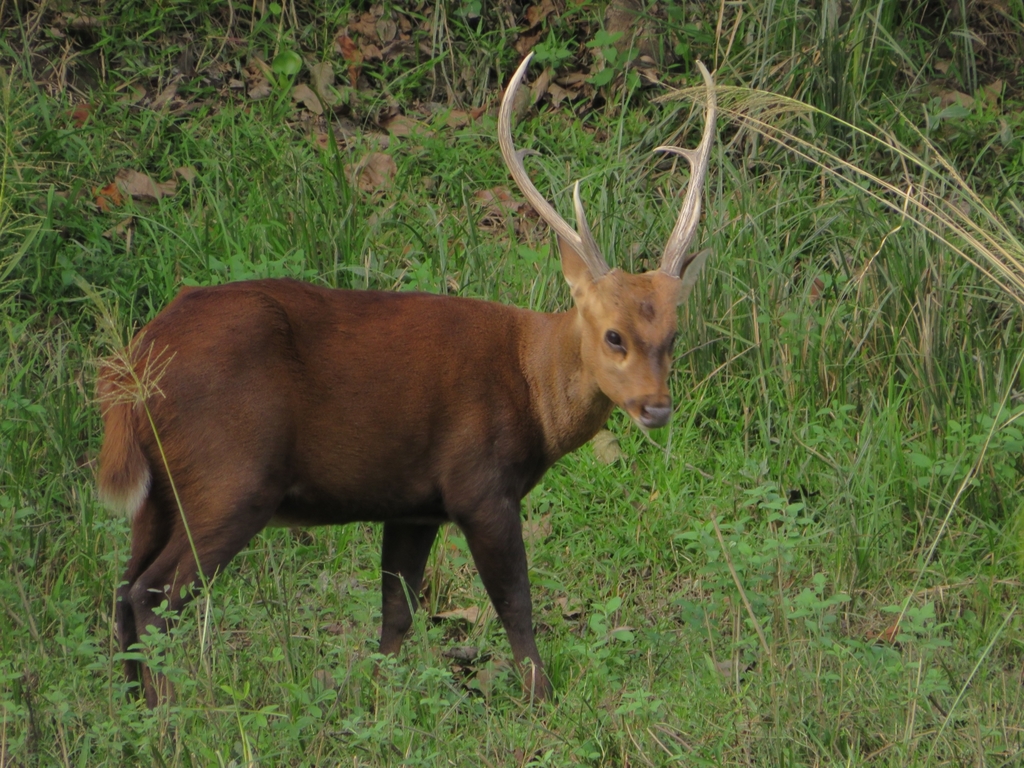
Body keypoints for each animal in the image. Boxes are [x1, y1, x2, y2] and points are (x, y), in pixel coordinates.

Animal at [96, 52, 717, 707]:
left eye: (674, 336)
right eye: (613, 335)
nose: (656, 407)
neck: (530, 381)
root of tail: (133, 365)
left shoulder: (414, 504)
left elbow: (397, 612)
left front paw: (379, 701)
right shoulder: (479, 485)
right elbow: (514, 604)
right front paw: (542, 697)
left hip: (160, 490)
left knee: (123, 590)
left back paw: (134, 708)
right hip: (231, 476)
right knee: (153, 594)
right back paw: (172, 710)